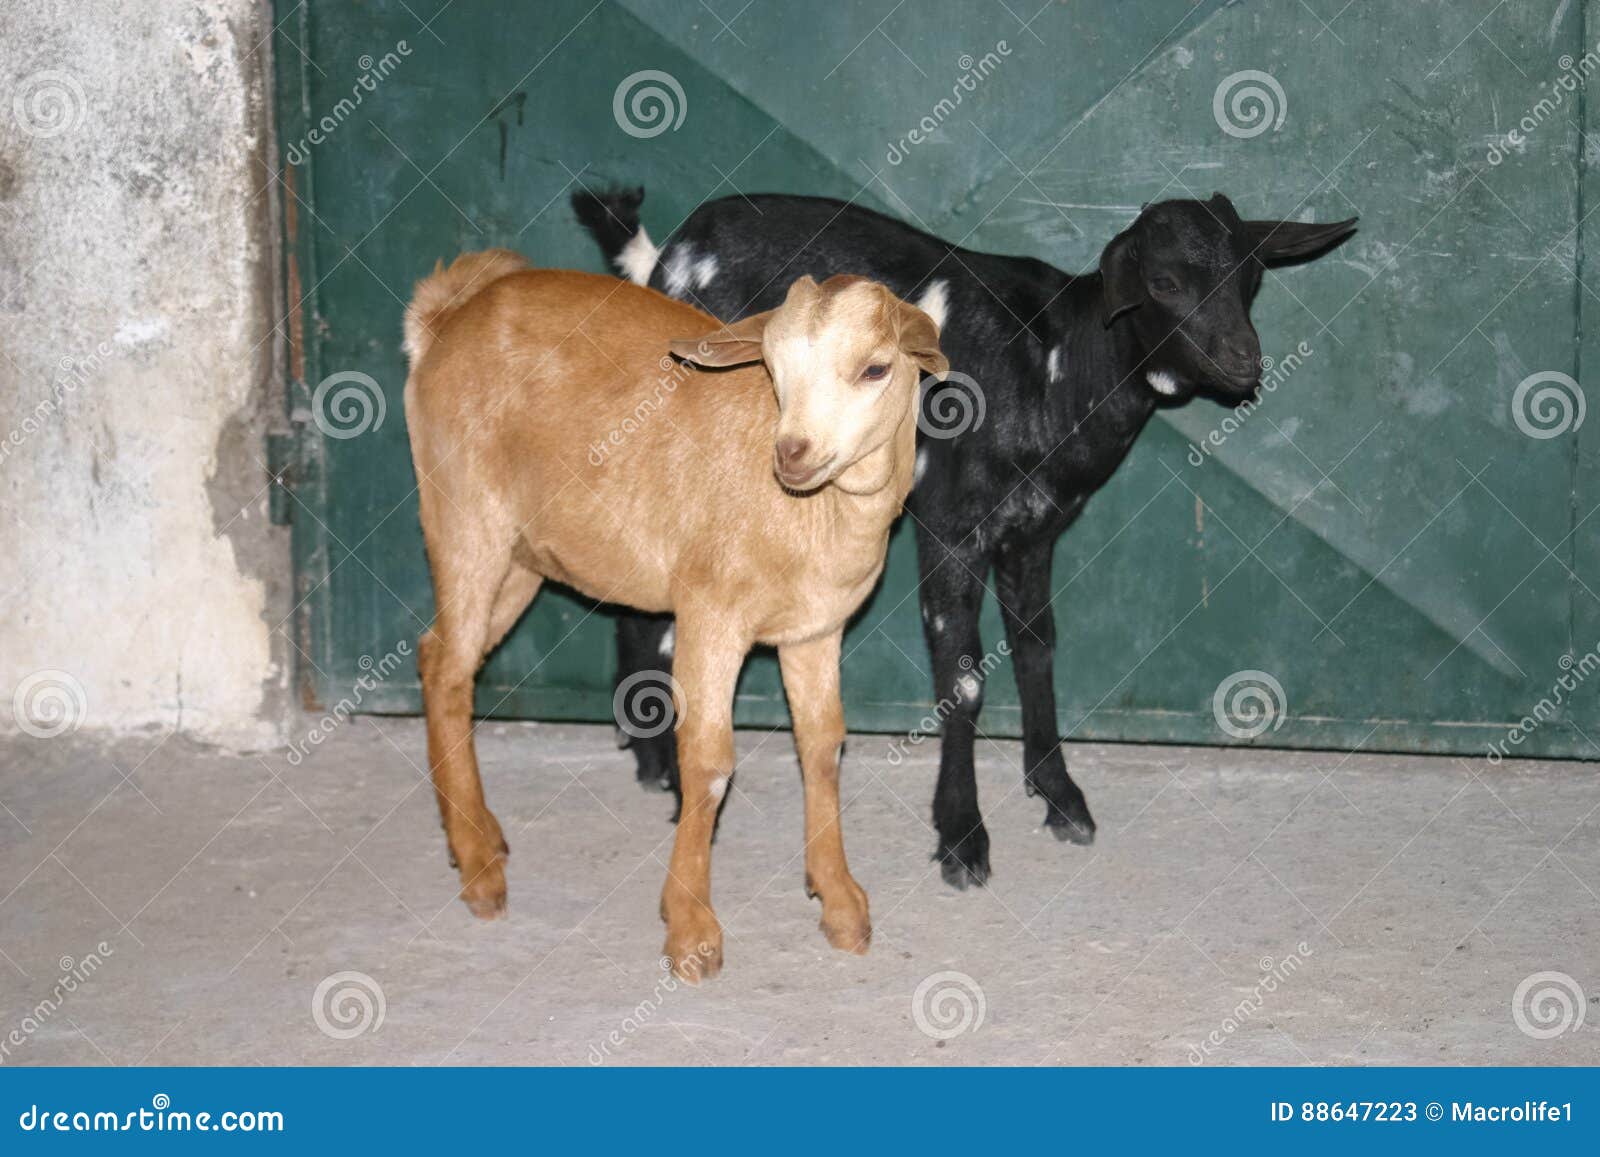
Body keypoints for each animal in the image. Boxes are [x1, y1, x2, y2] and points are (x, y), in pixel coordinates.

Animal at [402, 250, 945, 978]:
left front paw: (841, 903)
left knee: (439, 657)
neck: (815, 512)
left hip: (522, 555)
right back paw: (480, 871)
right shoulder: (709, 612)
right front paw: (691, 930)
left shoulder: (817, 628)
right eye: (772, 365)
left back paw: (482, 836)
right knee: (450, 666)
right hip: (463, 517)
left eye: (876, 368)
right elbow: (709, 761)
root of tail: (444, 317)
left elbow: (824, 746)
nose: (792, 452)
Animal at [574, 188, 1356, 888]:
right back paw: (670, 771)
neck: (1052, 369)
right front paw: (961, 836)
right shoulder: (952, 527)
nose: (1244, 362)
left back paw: (648, 755)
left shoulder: (1034, 531)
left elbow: (1038, 647)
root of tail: (666, 258)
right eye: (1162, 281)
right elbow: (966, 678)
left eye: (1252, 276)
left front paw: (1059, 793)